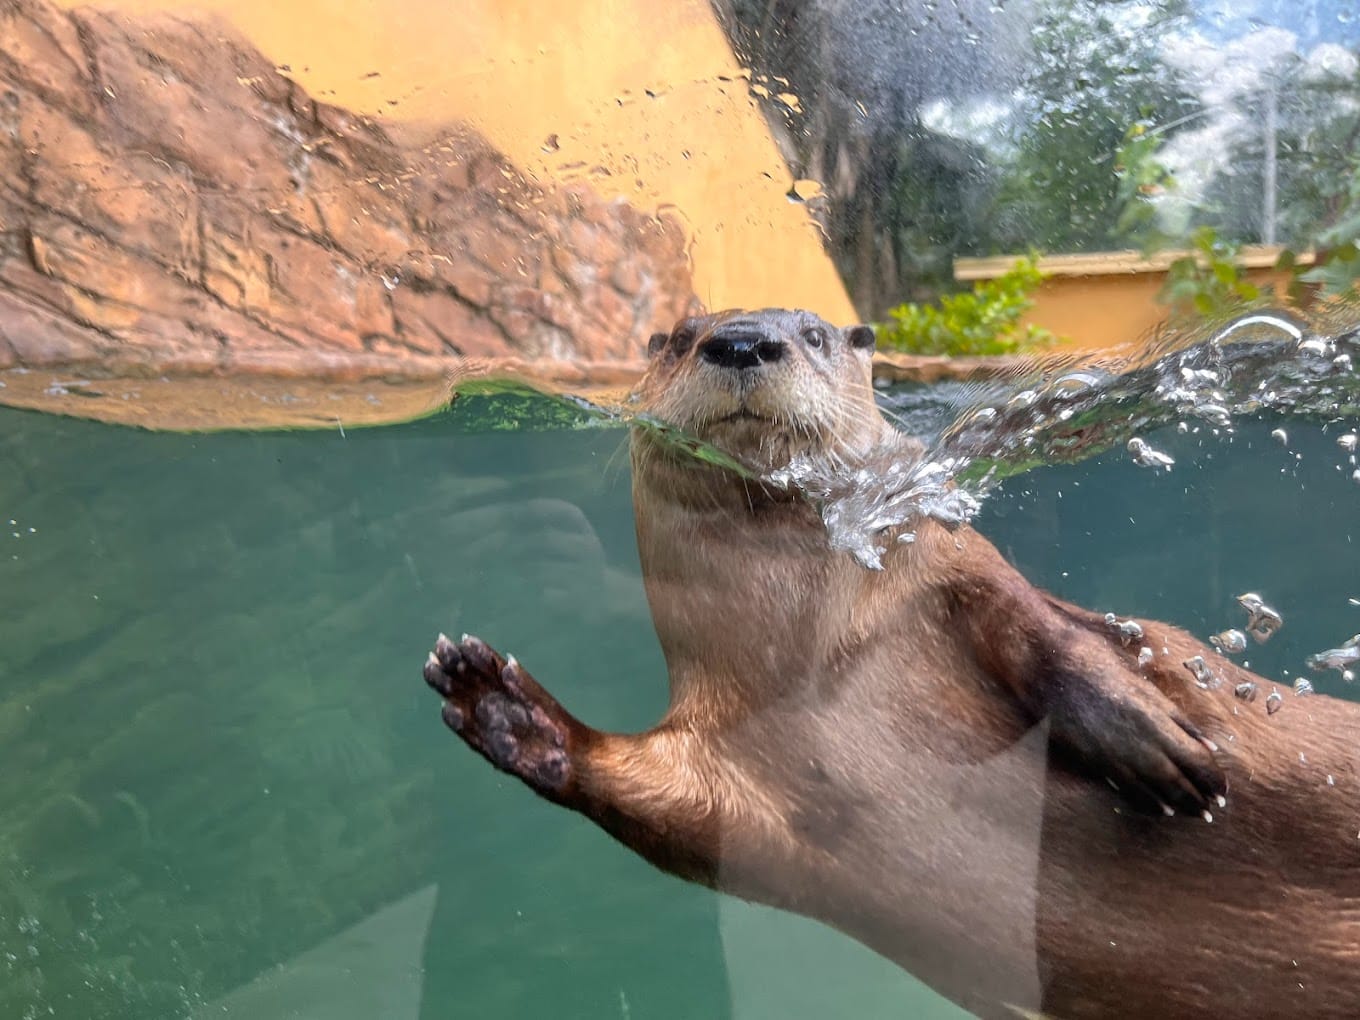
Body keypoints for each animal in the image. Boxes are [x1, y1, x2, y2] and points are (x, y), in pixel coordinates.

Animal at [423, 309, 1360, 1019]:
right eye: (679, 336)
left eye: (814, 332)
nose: (741, 341)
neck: (816, 659)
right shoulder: (737, 771)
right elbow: (663, 804)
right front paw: (504, 707)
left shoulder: (953, 568)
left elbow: (1050, 635)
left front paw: (1152, 744)